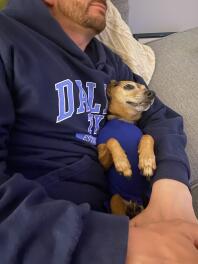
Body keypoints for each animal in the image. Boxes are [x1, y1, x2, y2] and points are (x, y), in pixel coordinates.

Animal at [97, 80, 156, 219]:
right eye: (128, 86)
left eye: (144, 88)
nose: (152, 93)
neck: (124, 121)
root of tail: (134, 201)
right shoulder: (103, 164)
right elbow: (111, 139)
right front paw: (123, 164)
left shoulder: (145, 136)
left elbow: (148, 136)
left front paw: (147, 161)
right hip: (115, 198)